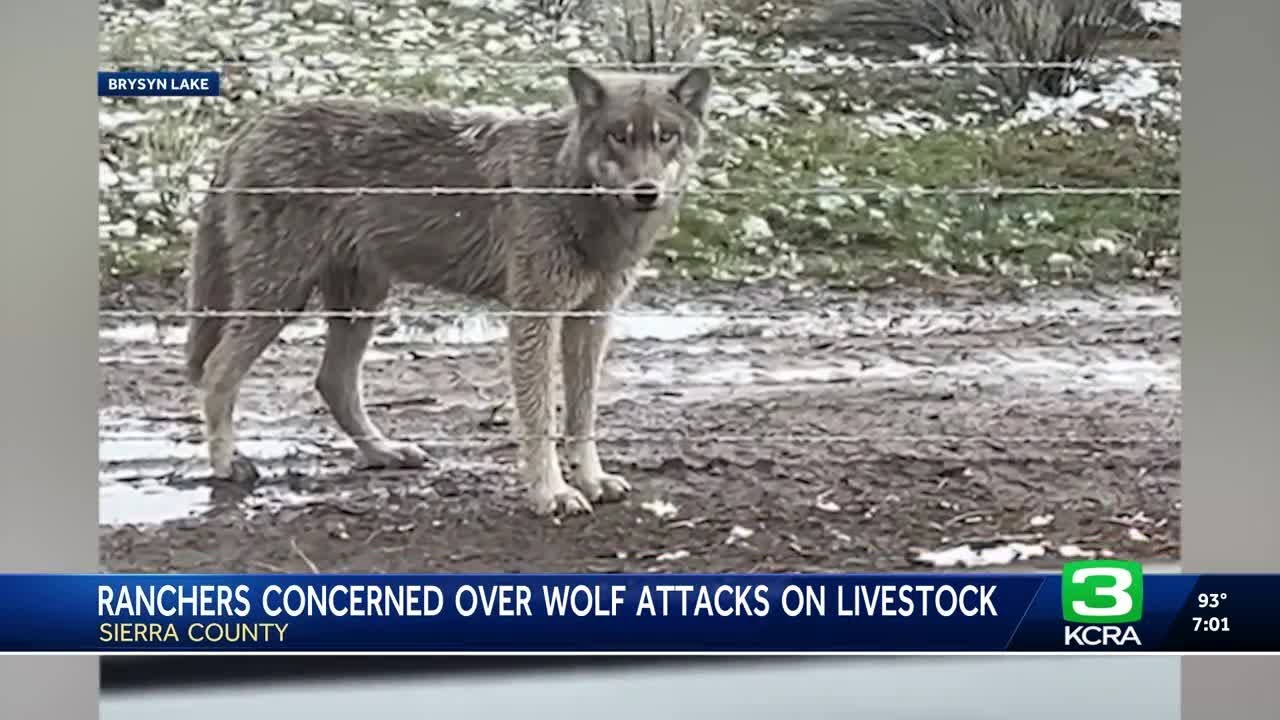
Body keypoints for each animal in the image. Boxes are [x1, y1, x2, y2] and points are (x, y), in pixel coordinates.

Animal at [183, 65, 714, 516]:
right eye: (617, 136)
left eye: (665, 136)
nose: (646, 191)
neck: (571, 192)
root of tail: (249, 129)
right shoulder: (535, 317)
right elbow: (539, 419)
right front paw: (551, 494)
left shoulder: (591, 320)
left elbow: (582, 416)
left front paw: (591, 481)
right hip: (283, 298)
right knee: (218, 372)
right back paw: (226, 466)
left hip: (361, 302)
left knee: (332, 382)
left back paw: (382, 451)